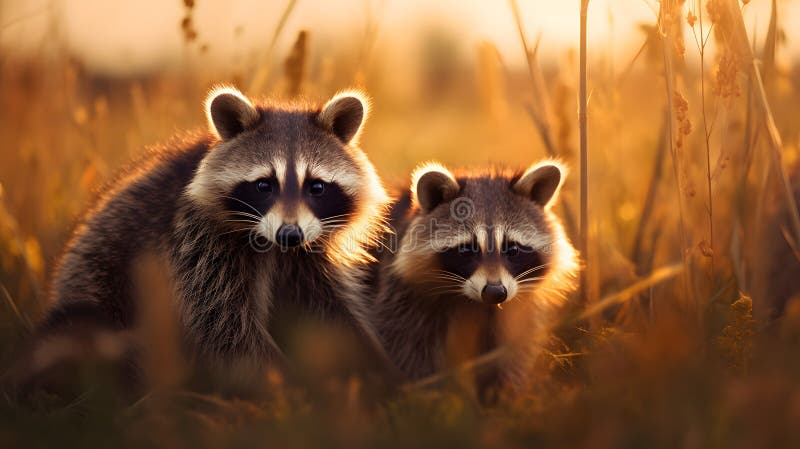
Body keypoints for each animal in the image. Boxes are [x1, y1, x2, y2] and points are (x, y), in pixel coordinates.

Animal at [18, 87, 393, 390]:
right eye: (264, 185)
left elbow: (327, 305)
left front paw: (371, 366)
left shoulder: (307, 253)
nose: (289, 234)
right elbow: (222, 326)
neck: (271, 244)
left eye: (316, 186)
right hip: (100, 294)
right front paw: (285, 385)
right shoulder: (196, 240)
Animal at [373, 161, 579, 400]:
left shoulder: (521, 305)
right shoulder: (404, 295)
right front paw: (426, 395)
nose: (495, 293)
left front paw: (503, 394)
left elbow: (514, 348)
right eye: (466, 249)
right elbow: (407, 345)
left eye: (512, 248)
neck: (471, 301)